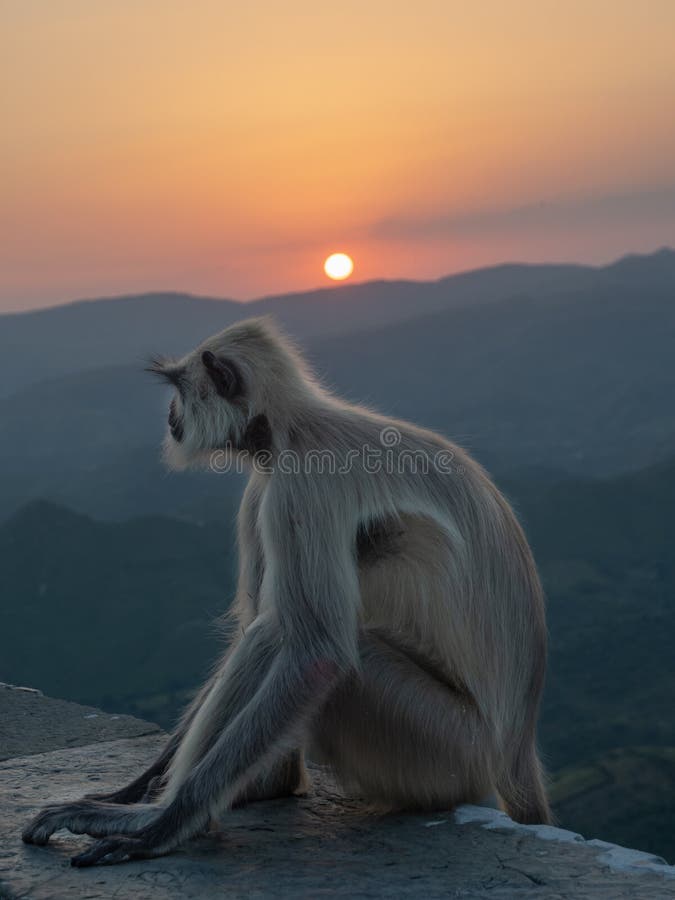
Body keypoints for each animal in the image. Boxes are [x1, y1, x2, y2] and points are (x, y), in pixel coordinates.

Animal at [22, 316, 550, 866]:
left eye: (180, 390)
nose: (170, 416)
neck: (290, 429)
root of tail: (515, 754)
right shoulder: (264, 483)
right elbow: (255, 618)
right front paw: (136, 788)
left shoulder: (300, 485)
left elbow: (317, 652)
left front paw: (163, 823)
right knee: (267, 631)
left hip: (446, 748)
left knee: (286, 636)